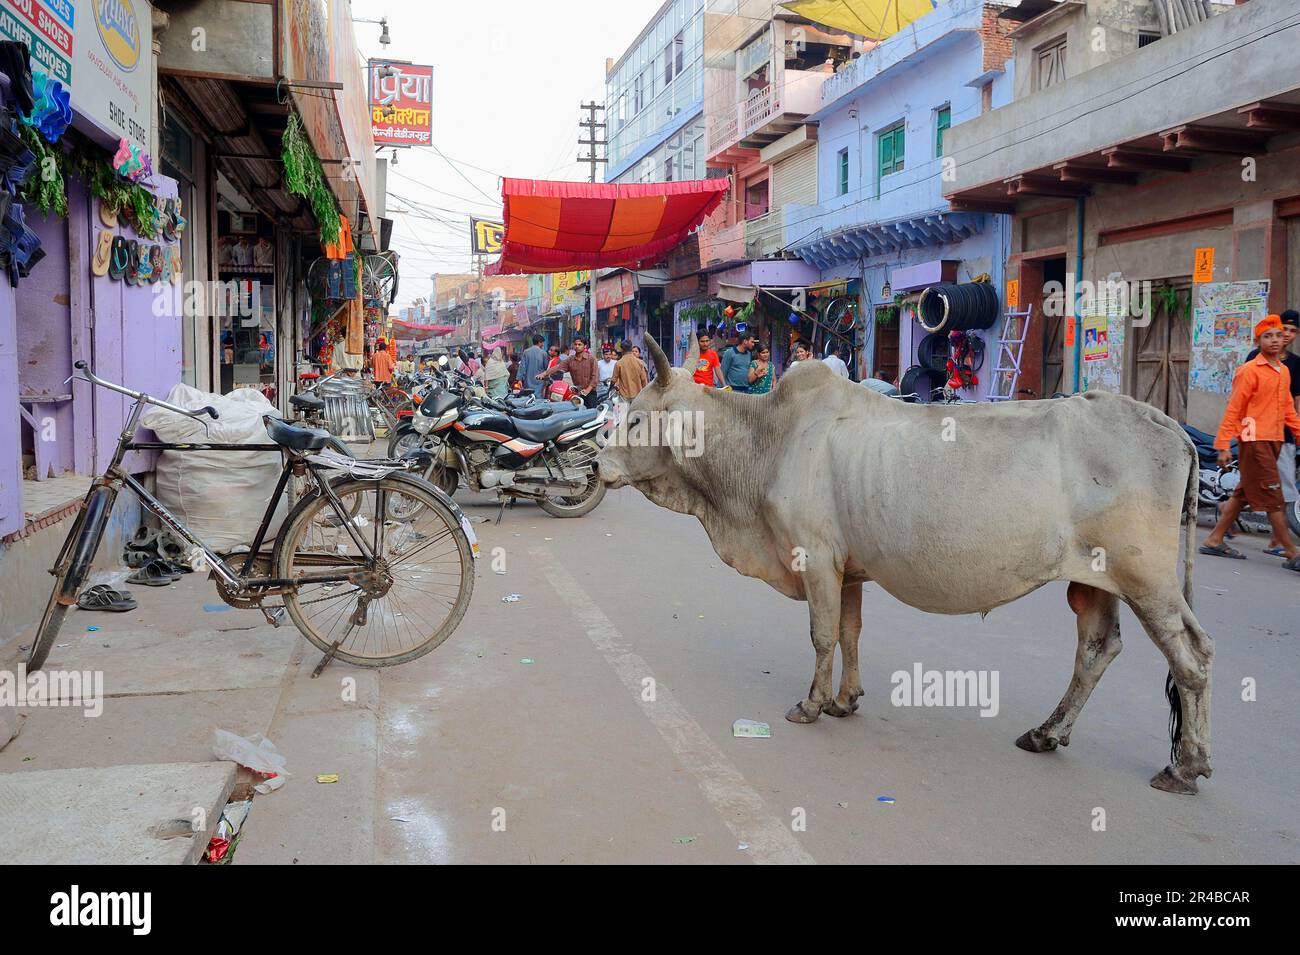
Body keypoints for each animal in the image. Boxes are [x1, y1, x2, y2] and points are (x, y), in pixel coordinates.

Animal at [596, 334, 1214, 795]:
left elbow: (823, 635)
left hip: (1148, 582)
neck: (765, 442)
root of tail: (1167, 425)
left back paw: (1185, 766)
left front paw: (812, 703)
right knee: (1097, 649)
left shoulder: (815, 559)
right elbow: (850, 632)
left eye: (636, 420)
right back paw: (1046, 733)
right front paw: (846, 700)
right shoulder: (847, 569)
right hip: (1097, 580)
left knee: (1192, 655)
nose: (597, 463)